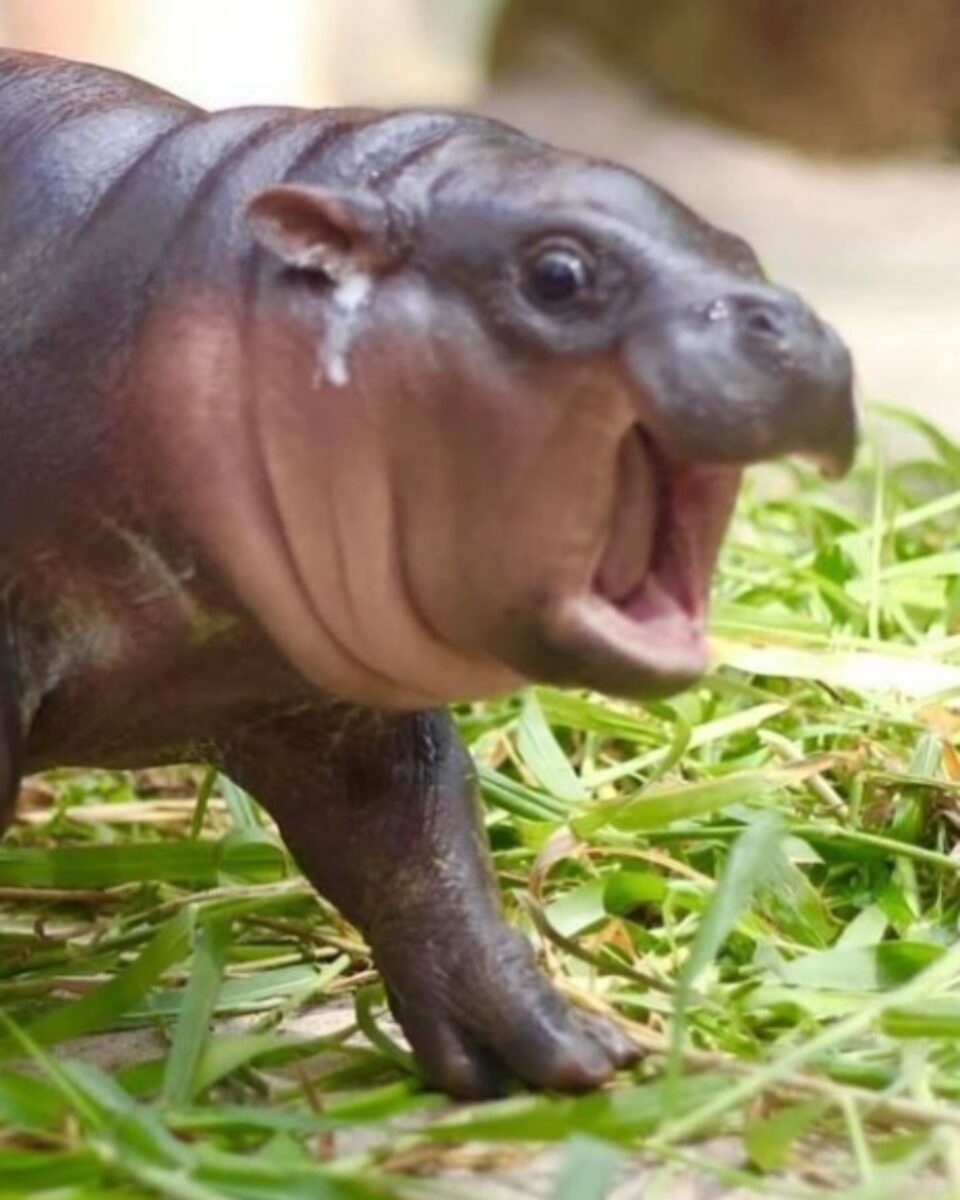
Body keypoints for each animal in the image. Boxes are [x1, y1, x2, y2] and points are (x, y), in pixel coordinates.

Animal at [0, 49, 856, 1097]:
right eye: (558, 273)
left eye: (745, 250)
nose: (795, 328)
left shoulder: (318, 708)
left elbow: (421, 851)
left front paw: (560, 1054)